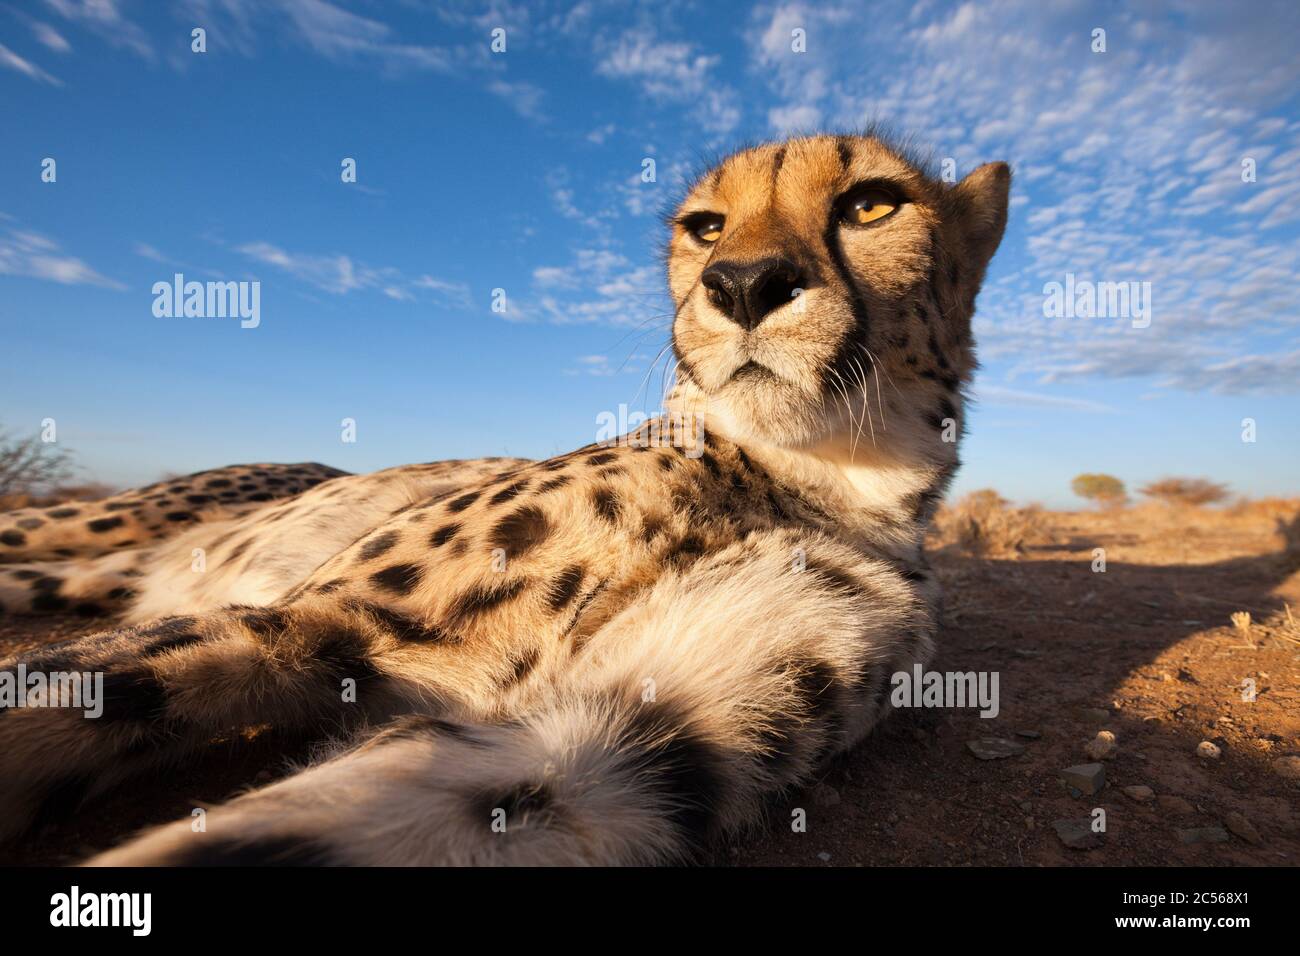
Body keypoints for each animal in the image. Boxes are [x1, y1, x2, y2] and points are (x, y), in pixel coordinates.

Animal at [0, 132, 1010, 866]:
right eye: (706, 226)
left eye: (871, 203)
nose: (744, 284)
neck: (820, 477)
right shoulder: (313, 618)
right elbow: (60, 691)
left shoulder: (616, 744)